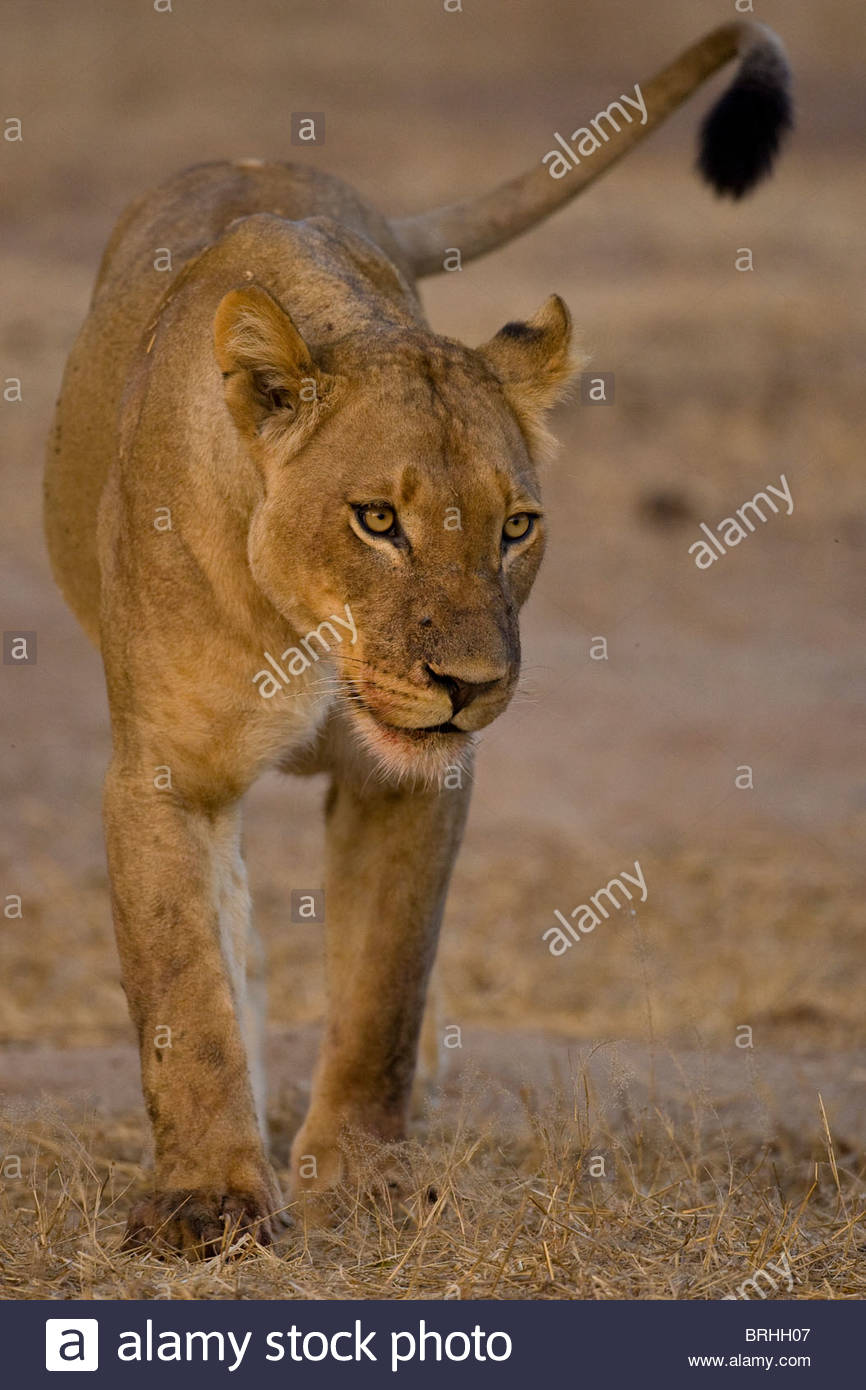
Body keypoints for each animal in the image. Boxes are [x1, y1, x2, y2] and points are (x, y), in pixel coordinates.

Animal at [43, 21, 791, 1254]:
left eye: (516, 527)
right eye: (378, 521)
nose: (469, 686)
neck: (311, 639)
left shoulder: (415, 783)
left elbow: (385, 984)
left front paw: (364, 1178)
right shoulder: (161, 773)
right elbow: (184, 989)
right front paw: (208, 1197)